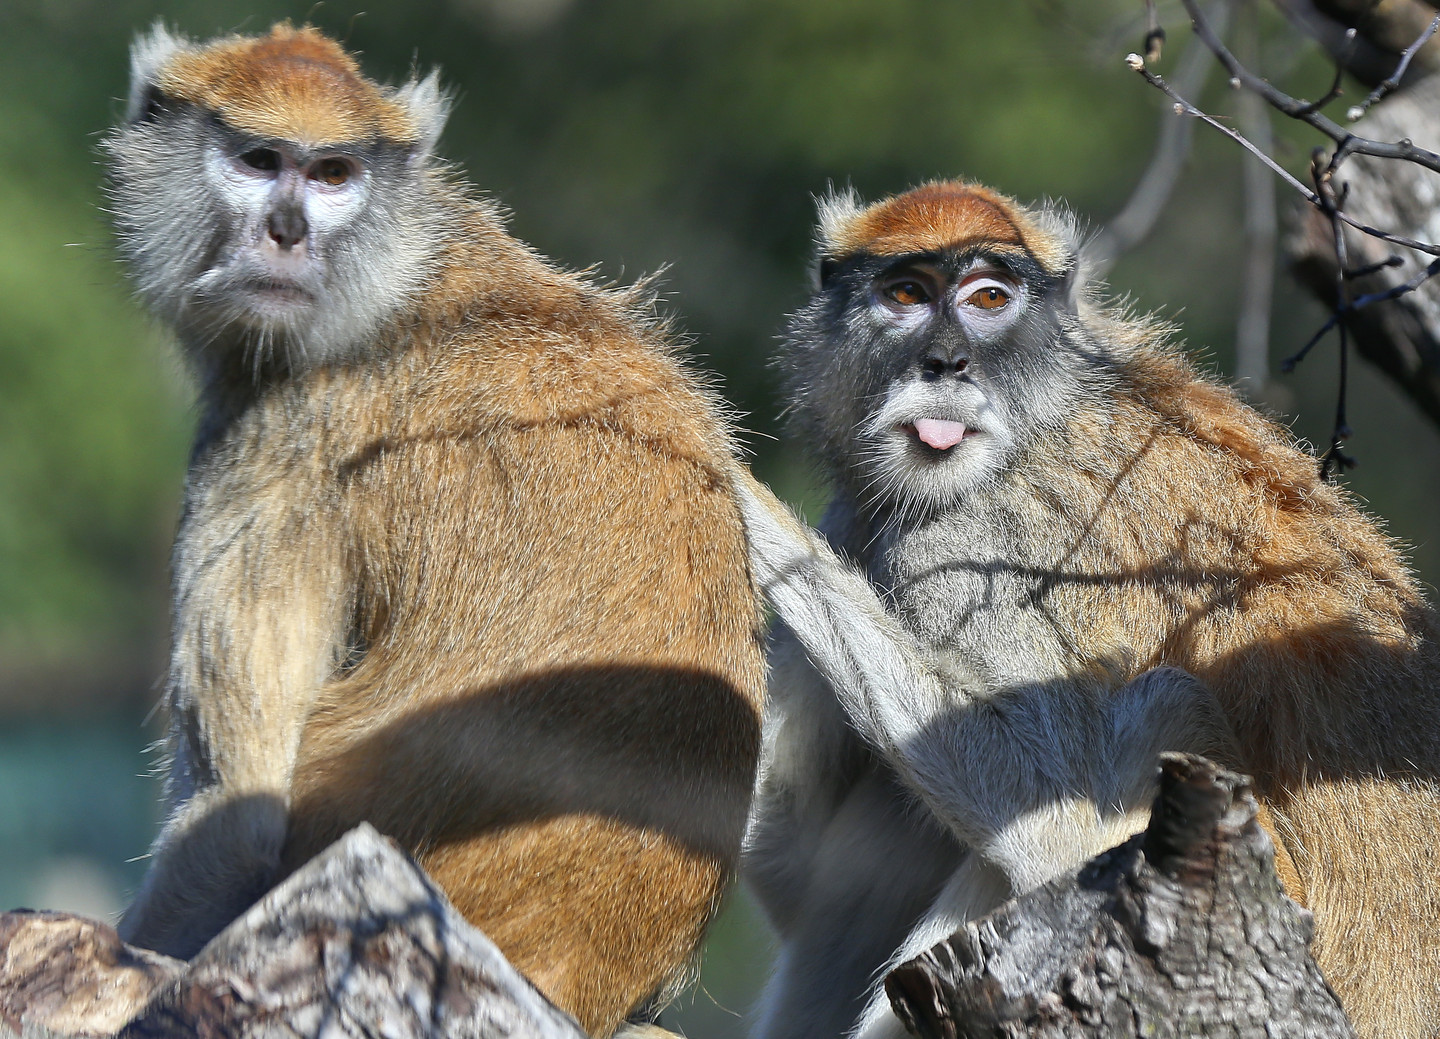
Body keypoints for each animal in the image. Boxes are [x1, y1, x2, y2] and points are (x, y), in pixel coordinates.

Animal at [101, 24, 765, 1037]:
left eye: (332, 173)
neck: (403, 270)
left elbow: (229, 828)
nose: (287, 232)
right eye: (258, 161)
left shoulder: (278, 438)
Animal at [736, 180, 1440, 1039]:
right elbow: (790, 859)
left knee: (1149, 718)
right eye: (905, 294)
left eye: (989, 297)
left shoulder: (967, 547)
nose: (946, 362)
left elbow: (1040, 792)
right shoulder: (860, 518)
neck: (1041, 414)